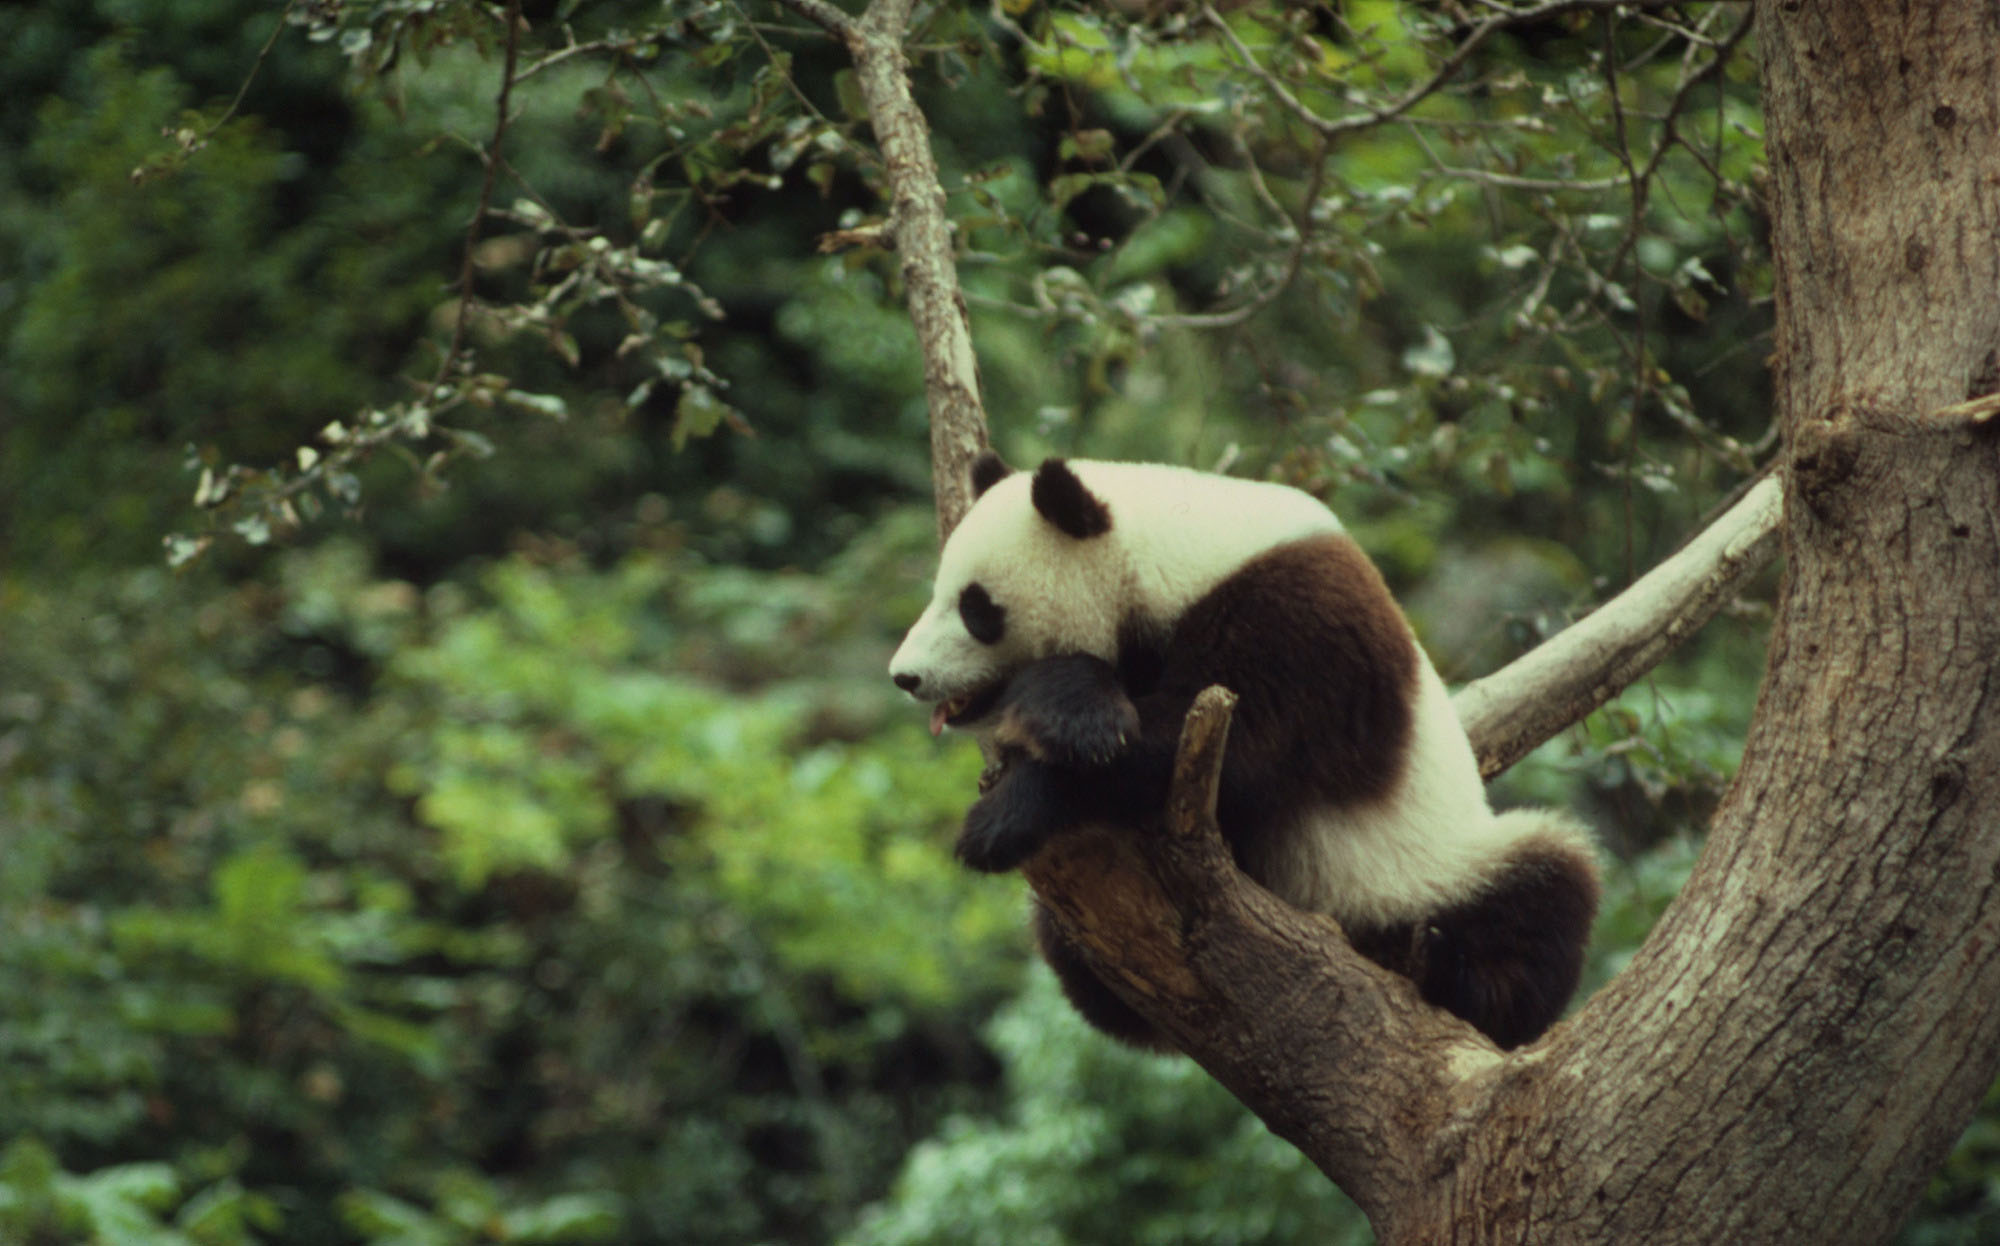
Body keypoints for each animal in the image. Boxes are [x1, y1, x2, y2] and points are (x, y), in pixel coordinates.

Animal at [889, 453, 1601, 1051]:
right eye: (937, 593)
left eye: (976, 607)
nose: (905, 676)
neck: (1168, 548)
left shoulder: (1296, 622)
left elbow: (1226, 753)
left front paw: (1008, 806)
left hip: (1425, 869)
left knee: (1547, 885)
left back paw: (1458, 976)